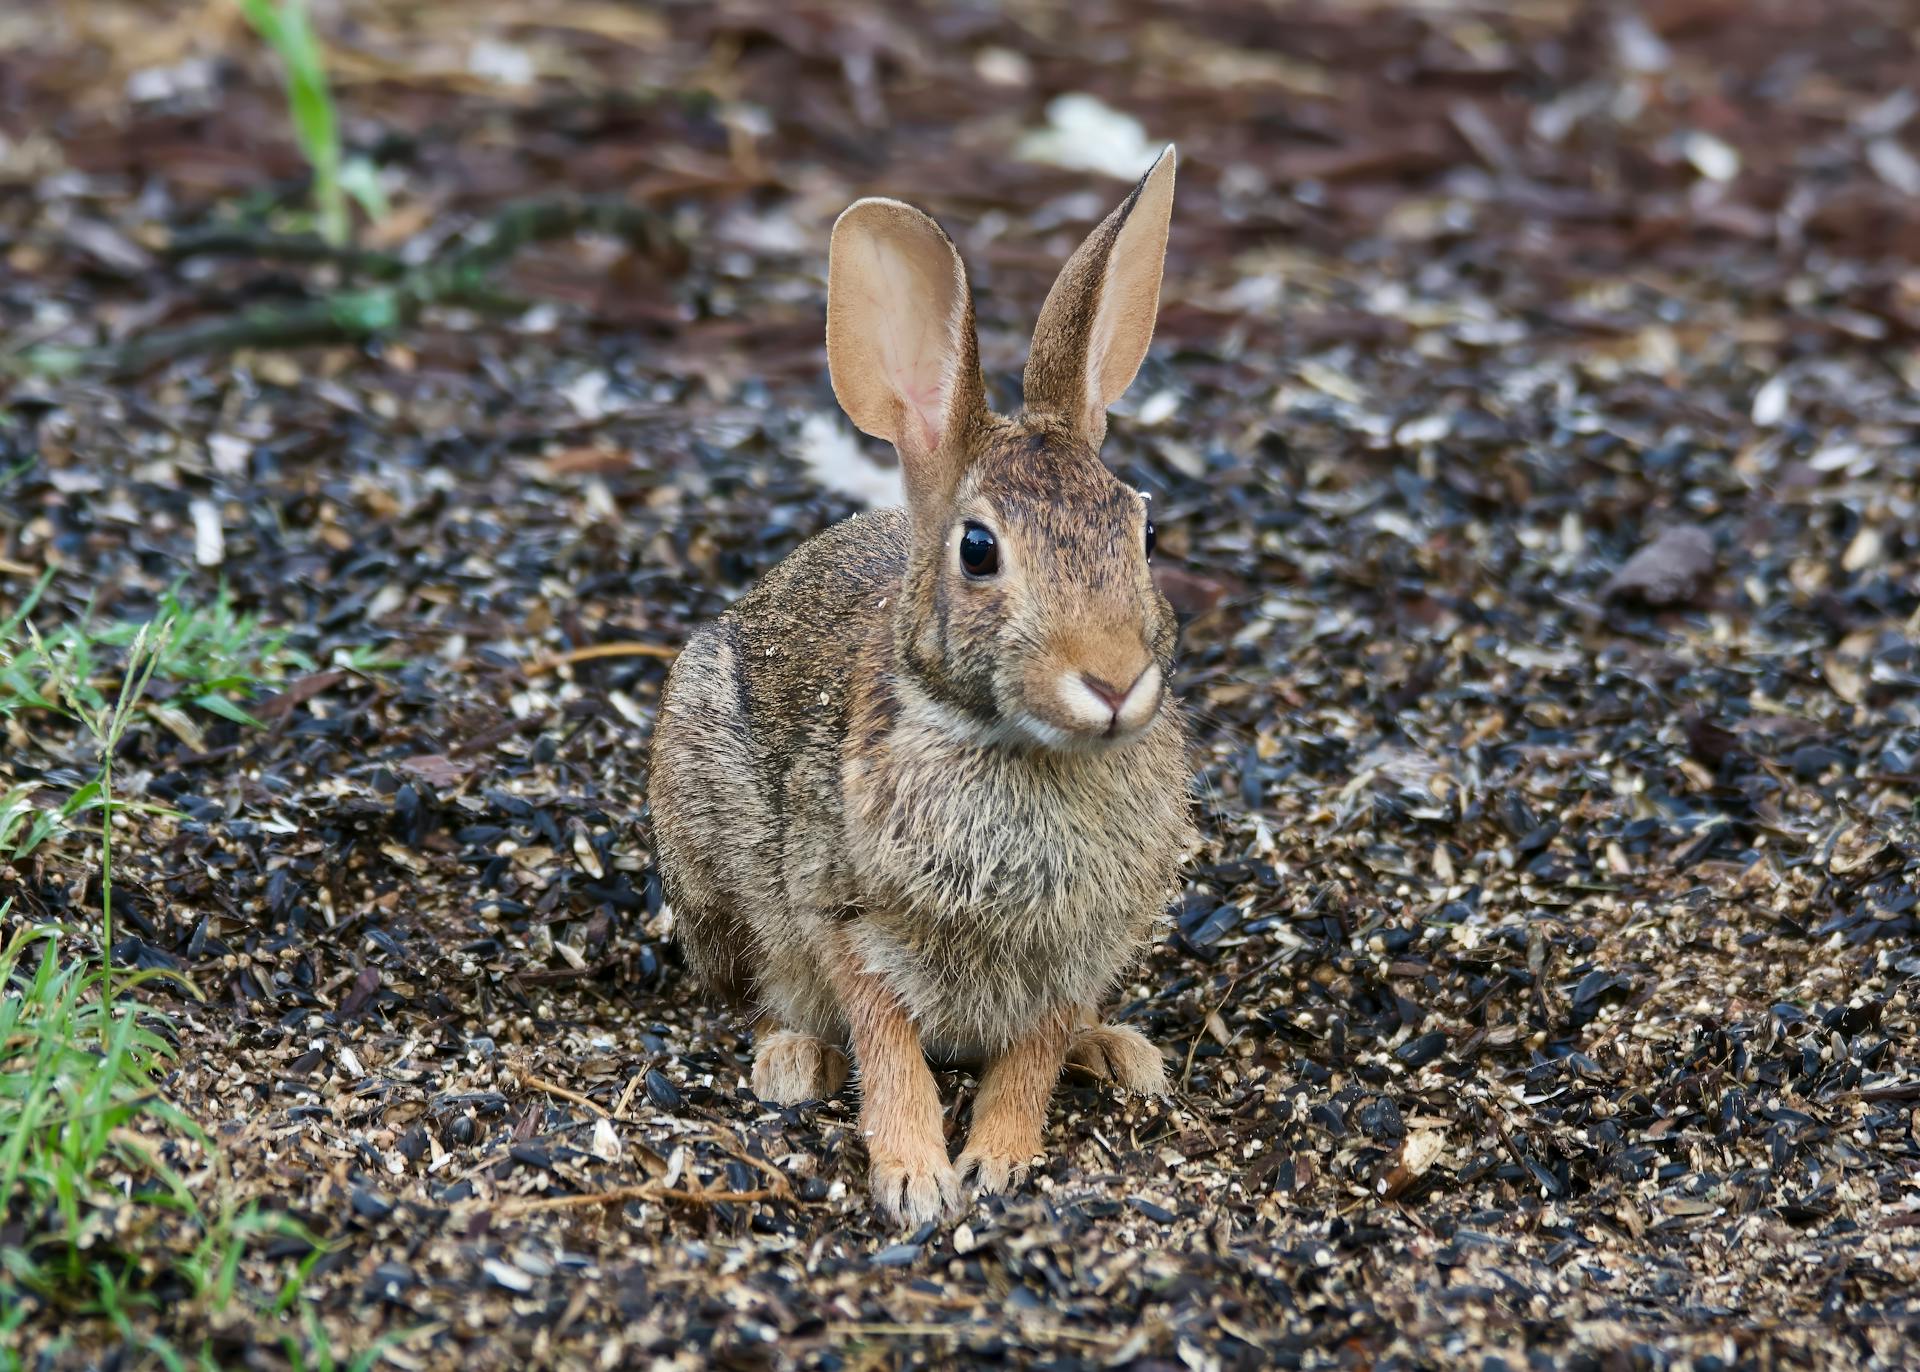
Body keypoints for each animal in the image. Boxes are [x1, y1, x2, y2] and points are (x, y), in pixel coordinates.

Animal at [649, 146, 1195, 1225]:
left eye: (1144, 531)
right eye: (979, 550)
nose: (1113, 682)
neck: (1022, 749)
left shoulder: (1078, 948)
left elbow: (1031, 1053)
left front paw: (999, 1158)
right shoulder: (843, 913)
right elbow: (887, 1043)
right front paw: (914, 1178)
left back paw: (1118, 1051)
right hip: (712, 856)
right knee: (760, 990)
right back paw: (789, 1062)